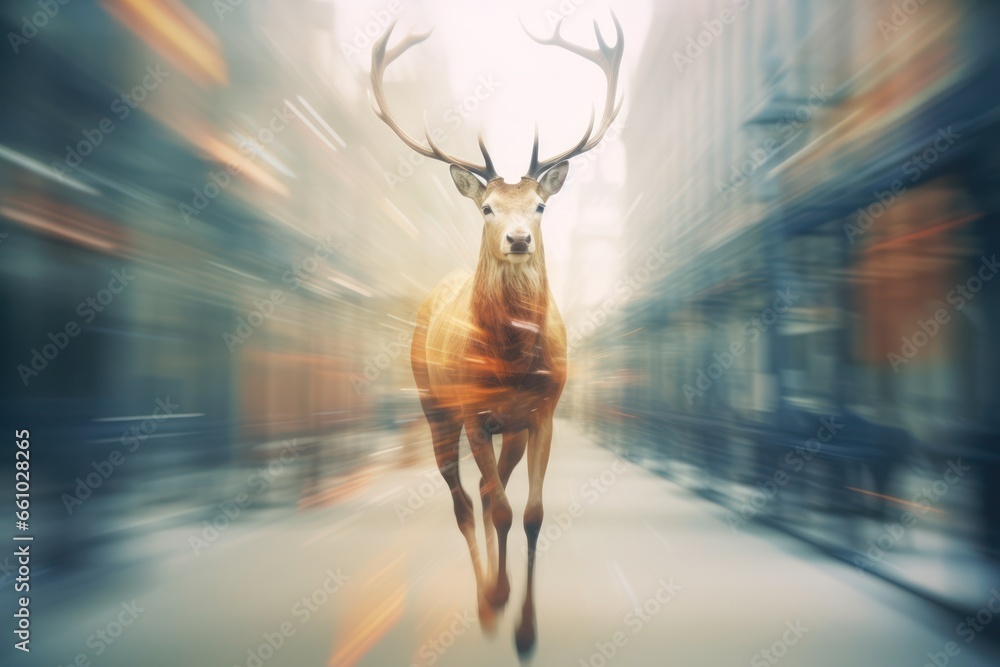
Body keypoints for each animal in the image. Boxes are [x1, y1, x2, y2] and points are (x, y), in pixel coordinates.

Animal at [370, 12, 623, 656]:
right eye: (487, 208)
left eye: (540, 206)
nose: (518, 238)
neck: (510, 361)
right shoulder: (472, 411)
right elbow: (500, 509)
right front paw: (499, 599)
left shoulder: (543, 412)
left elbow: (528, 514)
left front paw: (528, 630)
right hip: (434, 405)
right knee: (464, 499)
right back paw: (486, 600)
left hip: (508, 429)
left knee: (490, 495)